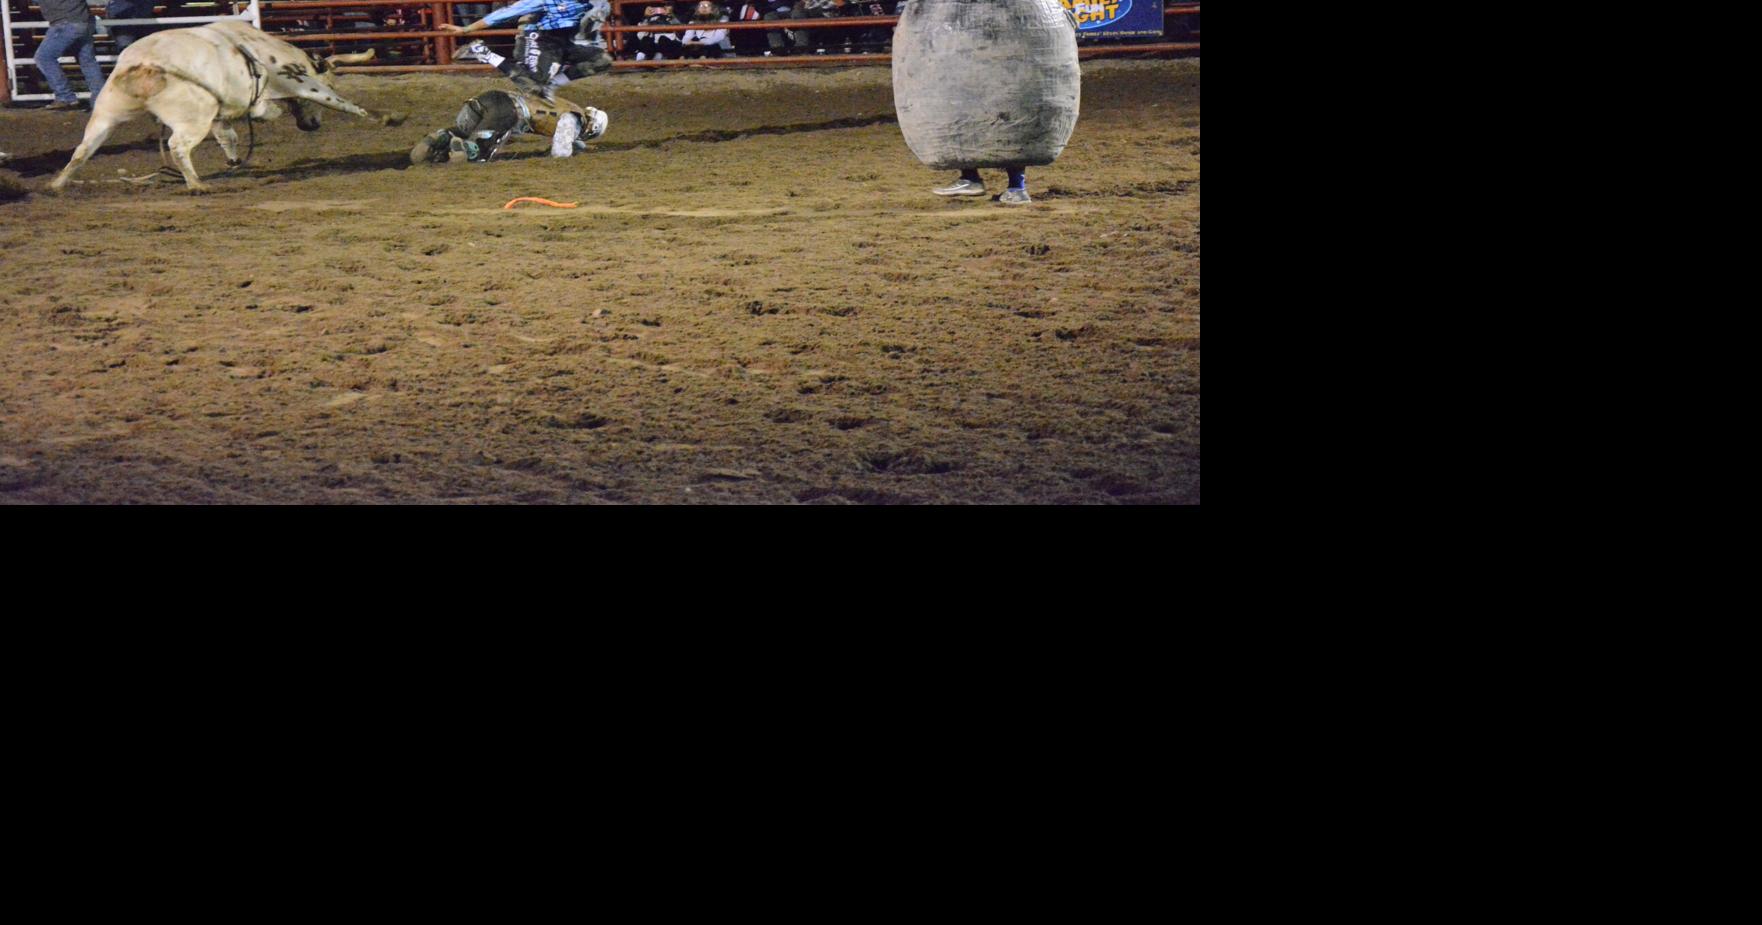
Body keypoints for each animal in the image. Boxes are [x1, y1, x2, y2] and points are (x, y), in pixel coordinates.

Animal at [49, 21, 407, 194]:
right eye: (332, 80)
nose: (311, 126)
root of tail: (141, 65)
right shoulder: (299, 81)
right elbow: (343, 104)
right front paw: (390, 117)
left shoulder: (224, 111)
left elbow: (228, 135)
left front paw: (235, 160)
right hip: (195, 113)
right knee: (177, 146)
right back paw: (196, 185)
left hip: (106, 114)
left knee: (84, 149)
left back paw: (57, 184)